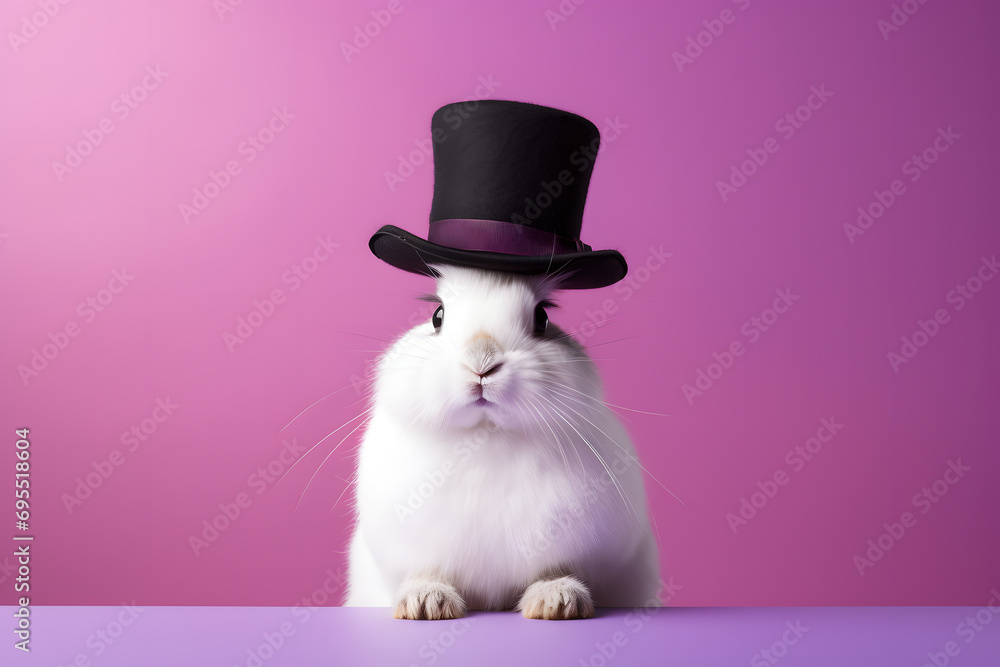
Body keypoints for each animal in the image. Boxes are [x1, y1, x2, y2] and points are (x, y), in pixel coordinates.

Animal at [344, 263, 660, 619]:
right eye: (437, 315)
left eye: (542, 318)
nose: (481, 362)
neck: (486, 436)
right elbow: (425, 573)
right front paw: (425, 602)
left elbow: (553, 571)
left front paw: (557, 599)